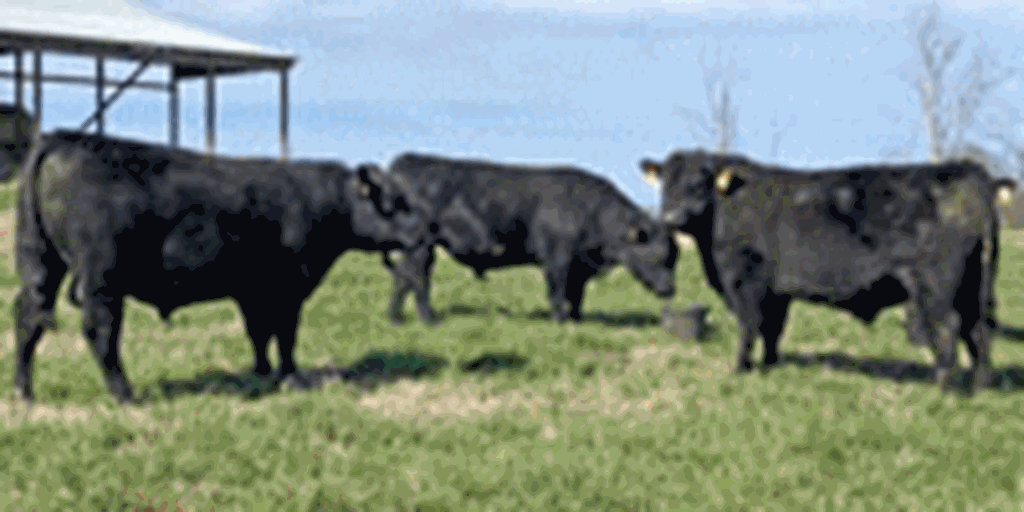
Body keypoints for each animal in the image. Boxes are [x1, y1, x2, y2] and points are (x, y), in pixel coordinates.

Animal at [13, 128, 422, 404]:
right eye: (395, 201)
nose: (425, 230)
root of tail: (64, 138)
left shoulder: (252, 290)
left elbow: (258, 333)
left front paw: (261, 374)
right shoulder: (289, 288)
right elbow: (285, 335)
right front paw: (291, 378)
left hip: (42, 262)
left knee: (27, 318)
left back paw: (24, 391)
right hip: (102, 277)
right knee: (100, 330)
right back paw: (124, 393)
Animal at [357, 153, 679, 325]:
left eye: (675, 257)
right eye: (659, 255)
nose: (670, 290)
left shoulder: (580, 265)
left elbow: (577, 296)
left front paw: (577, 321)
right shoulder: (558, 260)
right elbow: (559, 294)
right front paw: (561, 322)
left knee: (403, 278)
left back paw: (396, 317)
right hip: (421, 246)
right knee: (417, 279)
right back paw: (428, 318)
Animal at [639, 149, 1015, 394]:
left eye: (699, 182)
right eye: (665, 184)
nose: (671, 217)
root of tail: (968, 171)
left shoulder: (745, 280)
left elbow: (749, 326)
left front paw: (741, 368)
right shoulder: (777, 290)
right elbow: (773, 328)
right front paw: (770, 366)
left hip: (936, 284)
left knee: (949, 326)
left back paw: (942, 386)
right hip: (974, 283)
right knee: (979, 328)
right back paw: (983, 385)